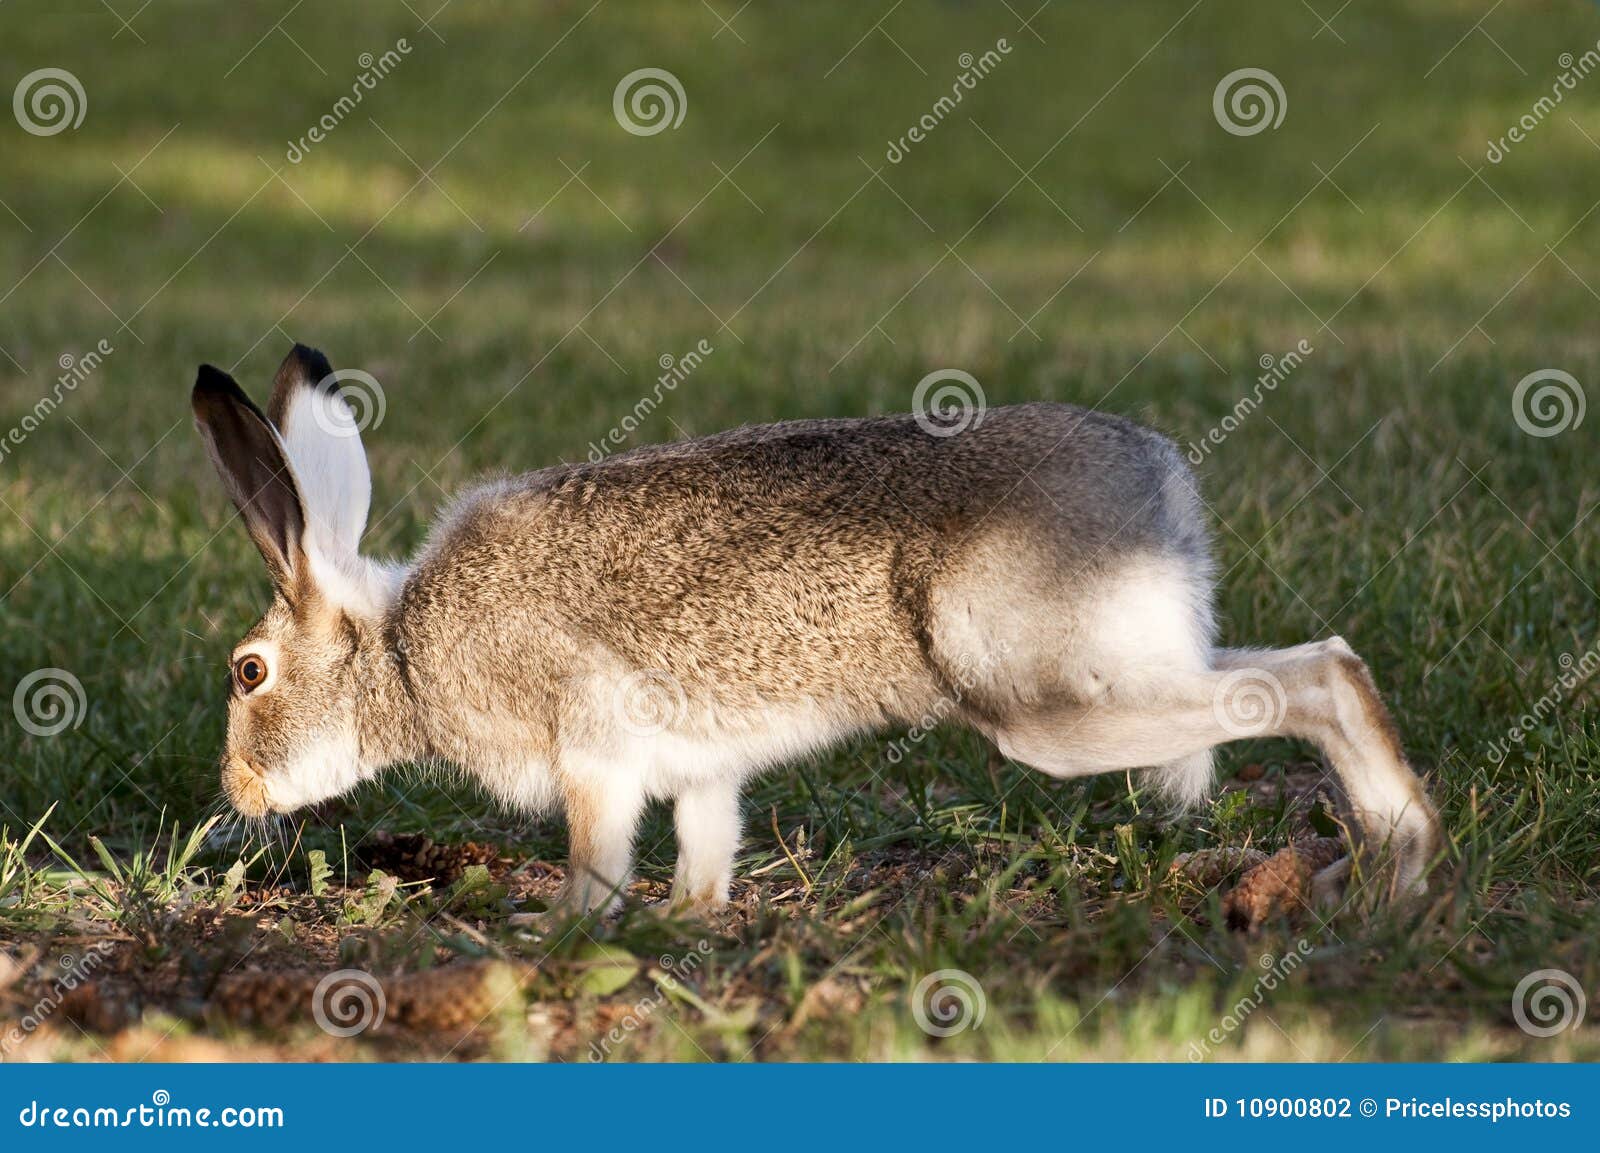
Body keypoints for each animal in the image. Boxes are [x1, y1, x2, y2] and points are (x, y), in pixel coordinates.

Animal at [192, 343, 1440, 914]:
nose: (239, 792)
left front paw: (575, 927)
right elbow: (707, 840)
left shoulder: (595, 755)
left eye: (248, 671)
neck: (399, 648)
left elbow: (599, 852)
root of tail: (1160, 492)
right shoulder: (700, 769)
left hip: (1052, 707)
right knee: (1316, 664)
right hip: (1128, 667)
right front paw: (692, 922)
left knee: (1319, 680)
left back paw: (1401, 866)